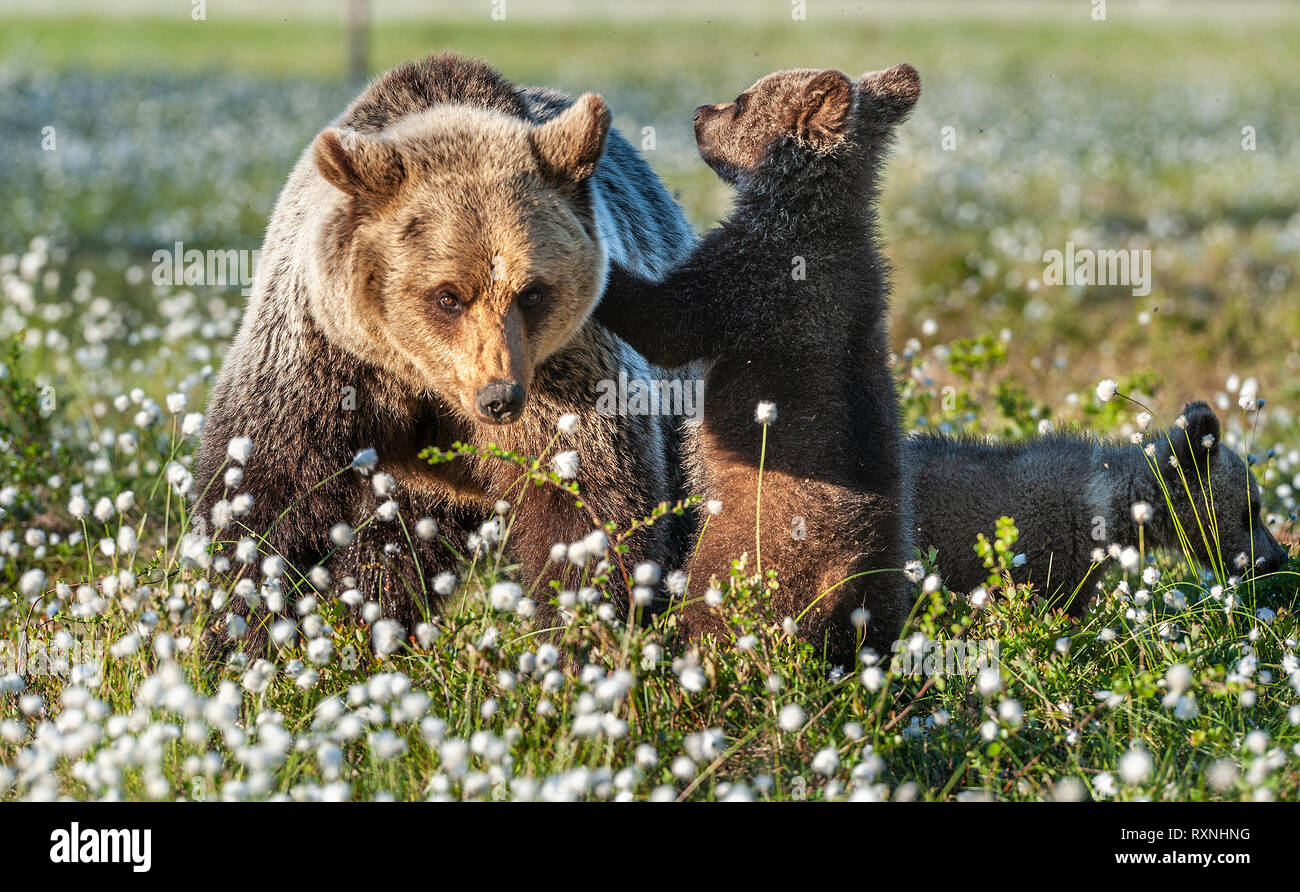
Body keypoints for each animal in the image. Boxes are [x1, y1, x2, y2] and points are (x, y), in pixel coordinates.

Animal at [193, 53, 697, 655]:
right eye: (447, 295)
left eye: (532, 292)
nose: (499, 397)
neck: (429, 382)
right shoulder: (324, 364)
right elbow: (261, 490)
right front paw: (241, 634)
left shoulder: (567, 377)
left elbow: (585, 501)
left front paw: (579, 630)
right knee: (387, 555)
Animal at [591, 63, 923, 666]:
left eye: (742, 101)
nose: (699, 111)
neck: (805, 207)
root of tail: (842, 580)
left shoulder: (753, 279)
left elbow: (668, 325)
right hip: (884, 592)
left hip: (743, 554)